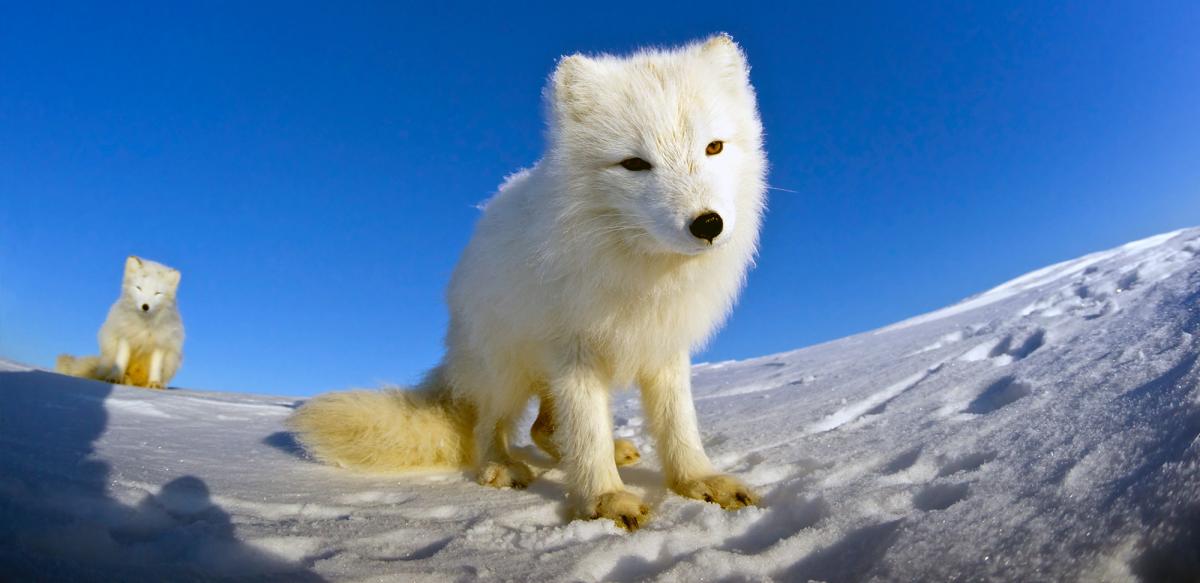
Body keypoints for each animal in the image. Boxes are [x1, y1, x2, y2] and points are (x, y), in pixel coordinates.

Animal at [57, 256, 185, 390]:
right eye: (139, 288)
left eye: (157, 293)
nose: (145, 306)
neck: (143, 325)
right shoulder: (124, 337)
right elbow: (121, 360)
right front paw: (116, 379)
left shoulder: (160, 343)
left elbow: (156, 367)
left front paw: (154, 384)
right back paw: (124, 380)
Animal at [289, 34, 767, 530]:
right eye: (634, 164)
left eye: (714, 147)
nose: (708, 224)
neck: (643, 271)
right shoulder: (575, 350)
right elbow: (588, 432)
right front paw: (605, 500)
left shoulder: (663, 343)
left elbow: (679, 424)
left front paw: (698, 482)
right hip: (506, 369)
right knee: (488, 423)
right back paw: (500, 466)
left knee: (543, 428)